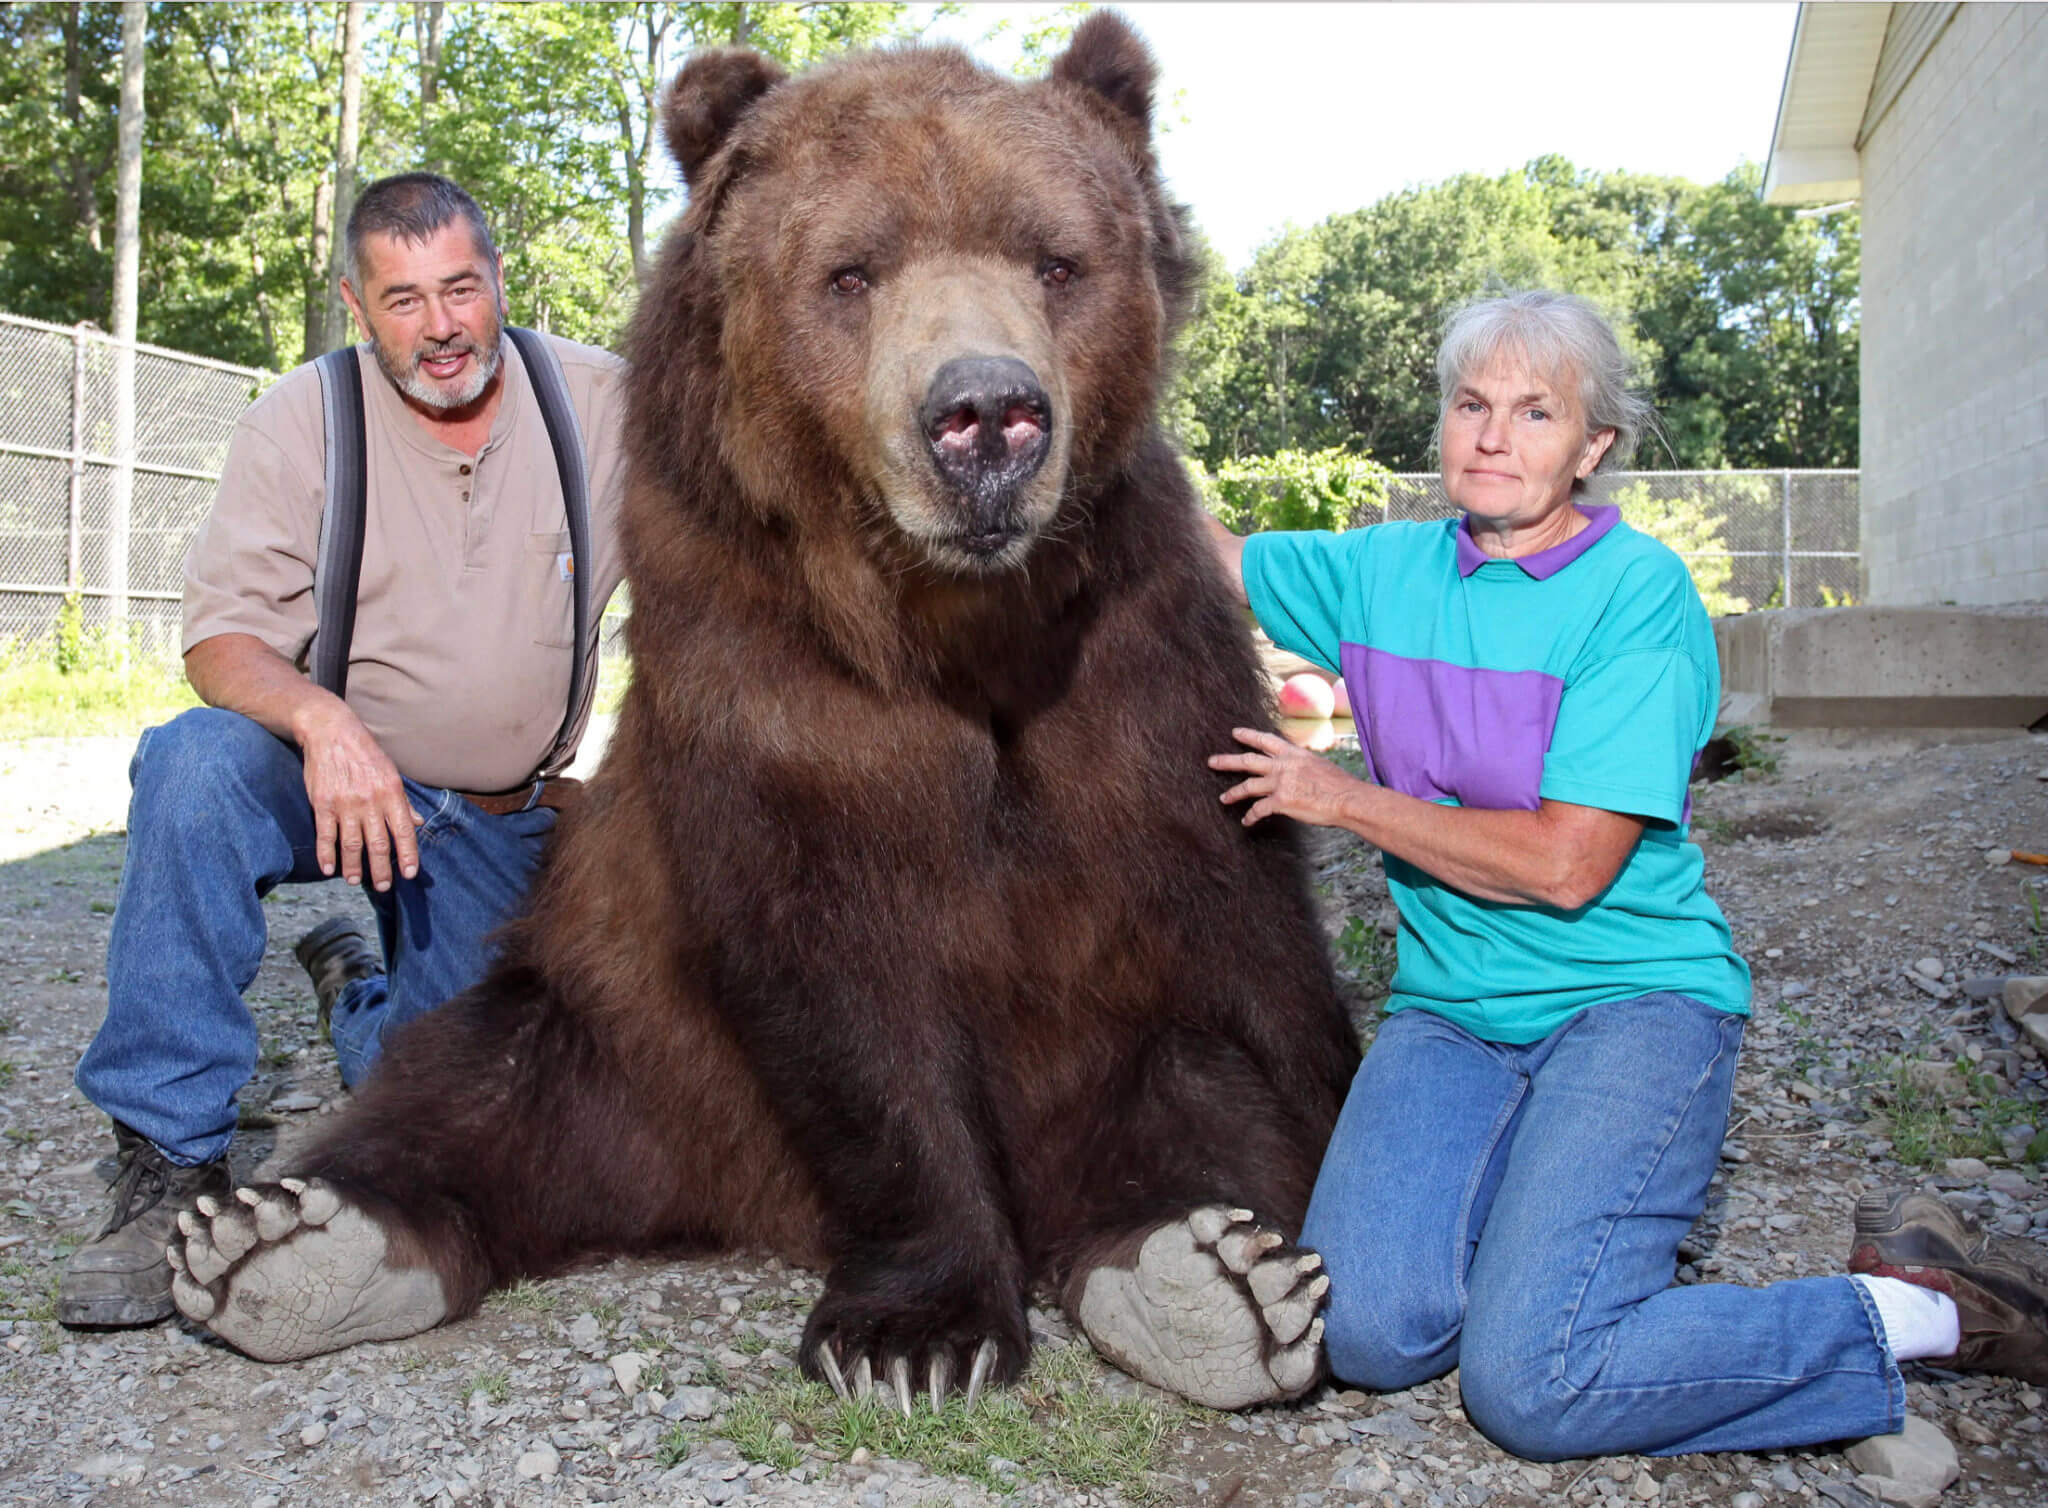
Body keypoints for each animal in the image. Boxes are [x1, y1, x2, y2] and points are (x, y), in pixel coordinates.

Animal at [165, 11, 1361, 1414]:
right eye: (850, 270)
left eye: (1056, 258)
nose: (985, 416)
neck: (952, 626)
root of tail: (726, 1201)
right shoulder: (766, 678)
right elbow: (834, 979)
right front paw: (915, 1329)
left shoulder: (1138, 677)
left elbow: (1244, 979)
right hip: (627, 1037)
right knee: (479, 1084)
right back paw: (281, 1239)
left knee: (1178, 1086)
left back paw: (1213, 1277)